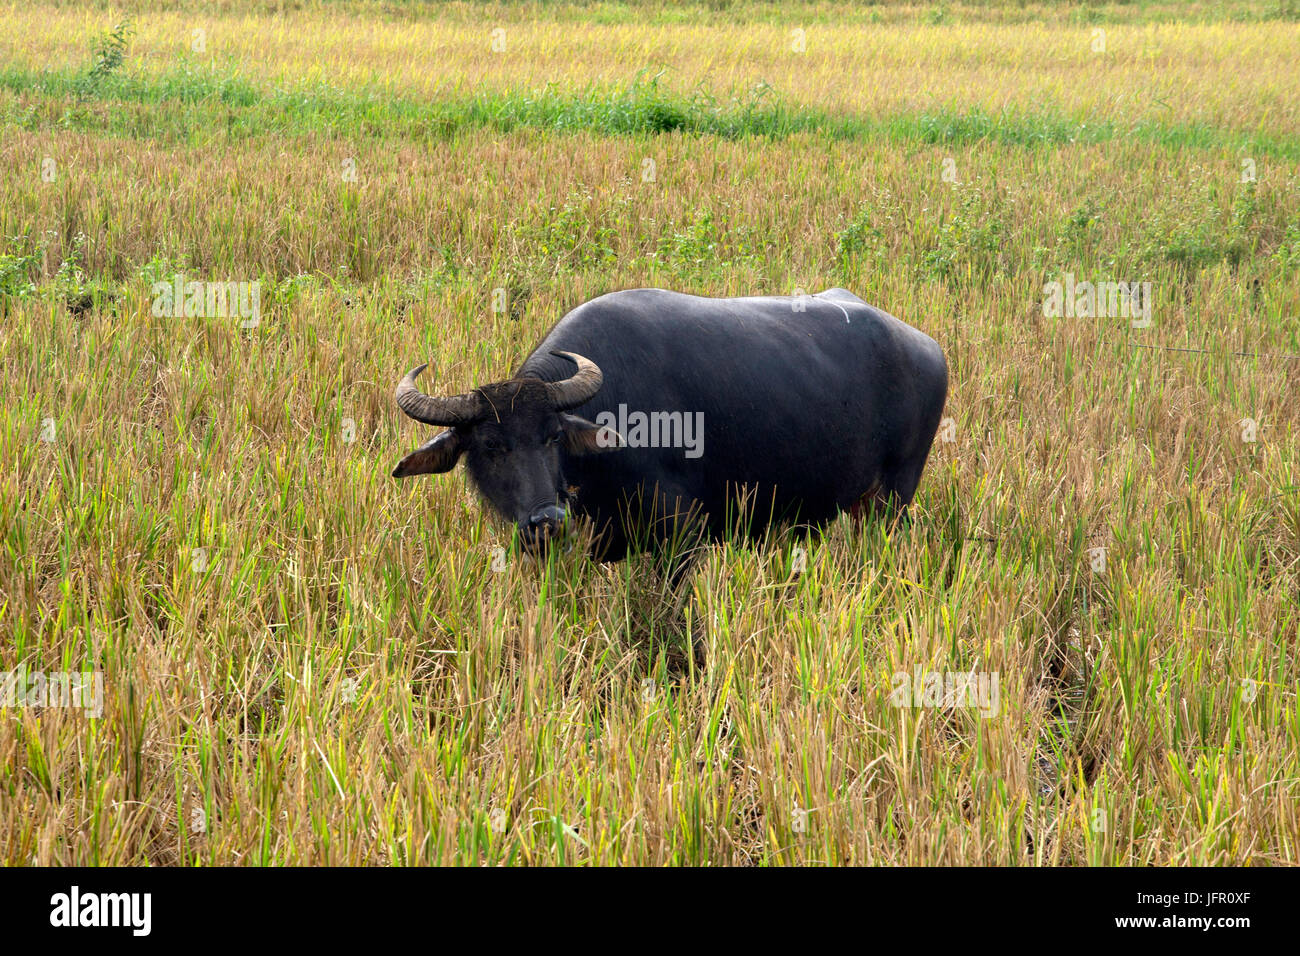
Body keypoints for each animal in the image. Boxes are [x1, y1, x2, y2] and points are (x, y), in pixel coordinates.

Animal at [393, 288, 947, 578]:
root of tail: (926, 347)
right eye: (489, 446)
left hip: (892, 500)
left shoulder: (684, 532)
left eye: (552, 436)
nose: (545, 521)